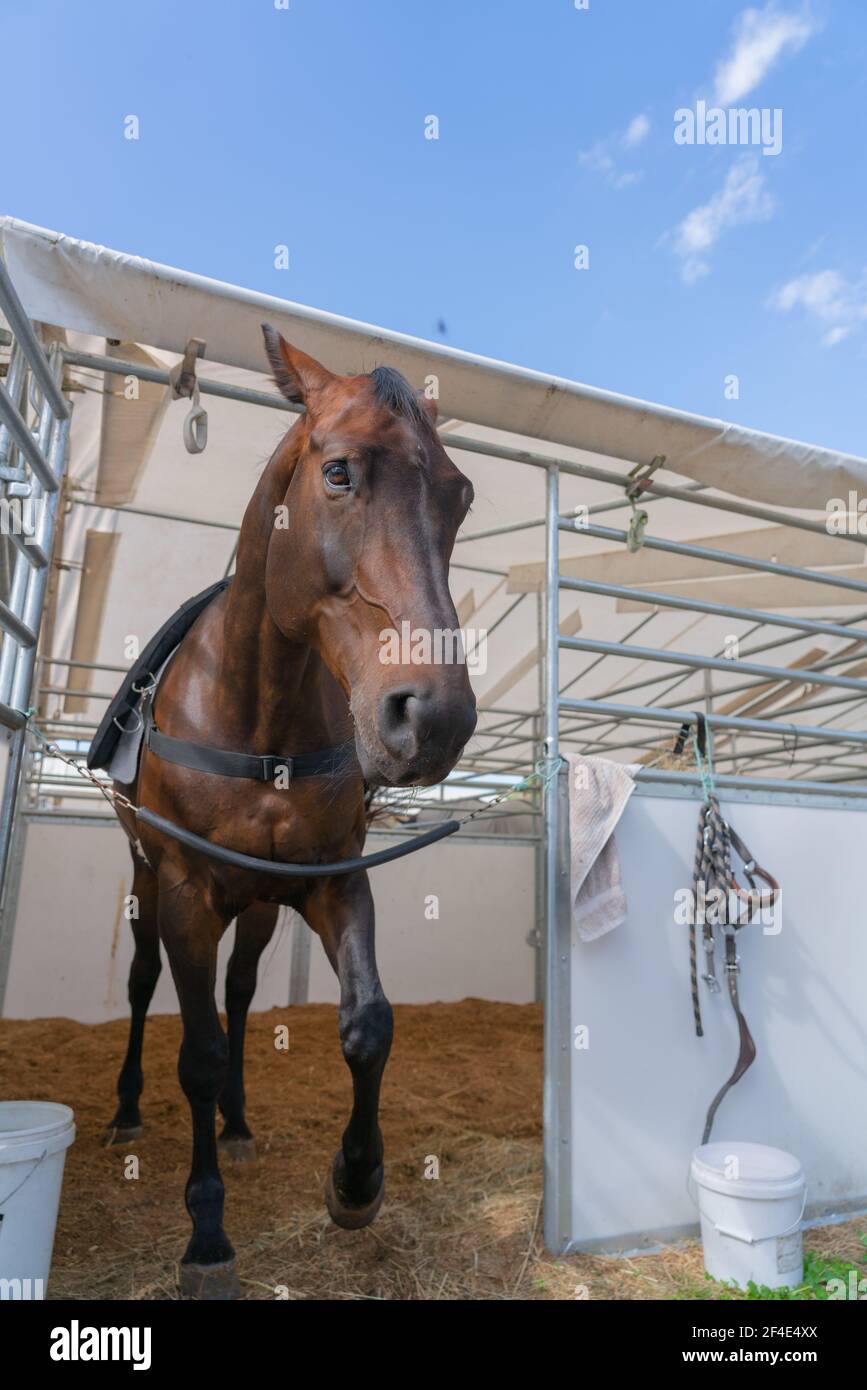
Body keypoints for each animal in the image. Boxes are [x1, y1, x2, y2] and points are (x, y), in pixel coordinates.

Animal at [102, 327, 477, 1298]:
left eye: (458, 494)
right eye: (338, 472)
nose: (434, 716)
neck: (261, 707)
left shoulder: (330, 880)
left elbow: (368, 1023)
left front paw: (356, 1178)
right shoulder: (186, 891)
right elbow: (194, 1052)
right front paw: (206, 1234)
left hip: (261, 904)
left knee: (239, 996)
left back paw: (236, 1123)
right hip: (147, 883)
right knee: (145, 985)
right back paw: (127, 1111)